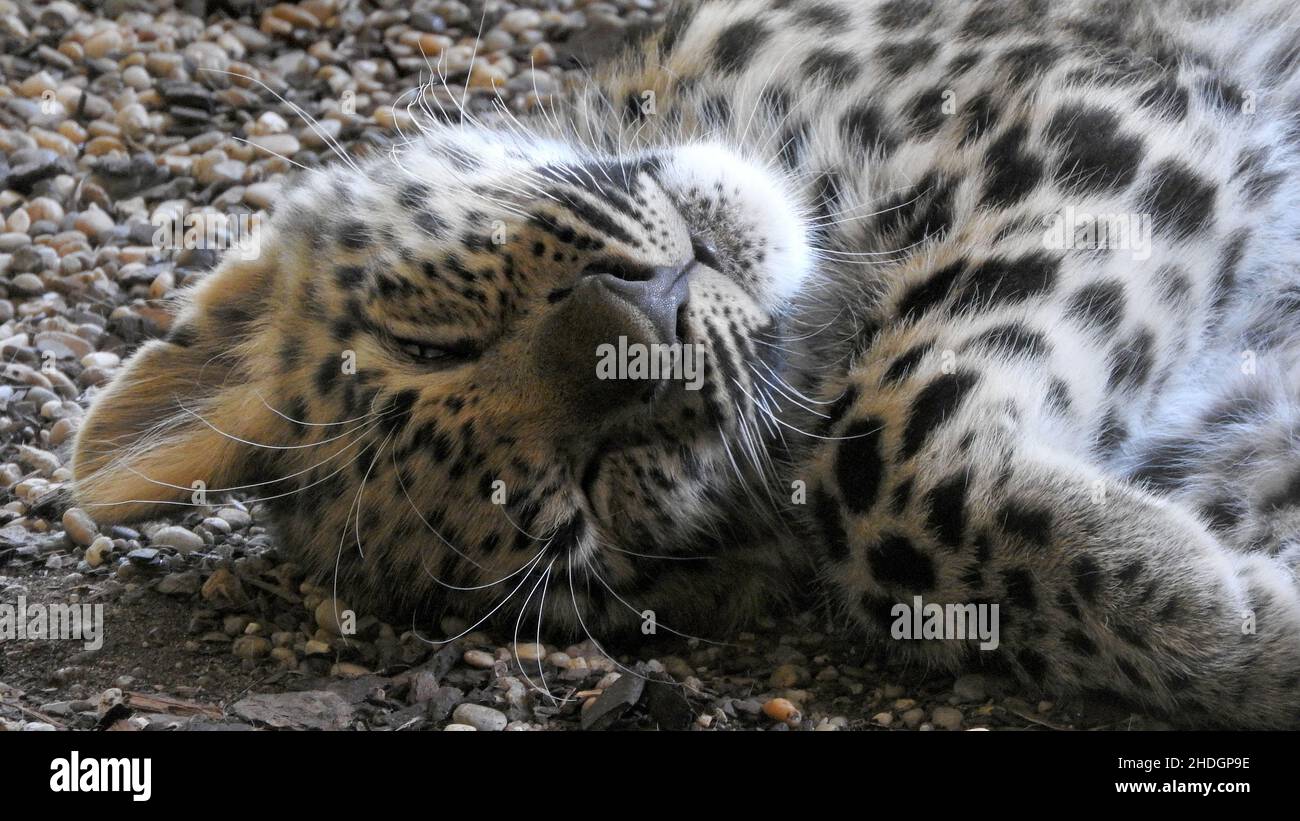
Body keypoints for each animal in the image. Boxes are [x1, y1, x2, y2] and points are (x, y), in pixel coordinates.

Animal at [71, 0, 1300, 728]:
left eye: (429, 339)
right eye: (587, 497)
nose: (650, 313)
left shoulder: (1093, 110)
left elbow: (882, 427)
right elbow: (878, 483)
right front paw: (1237, 627)